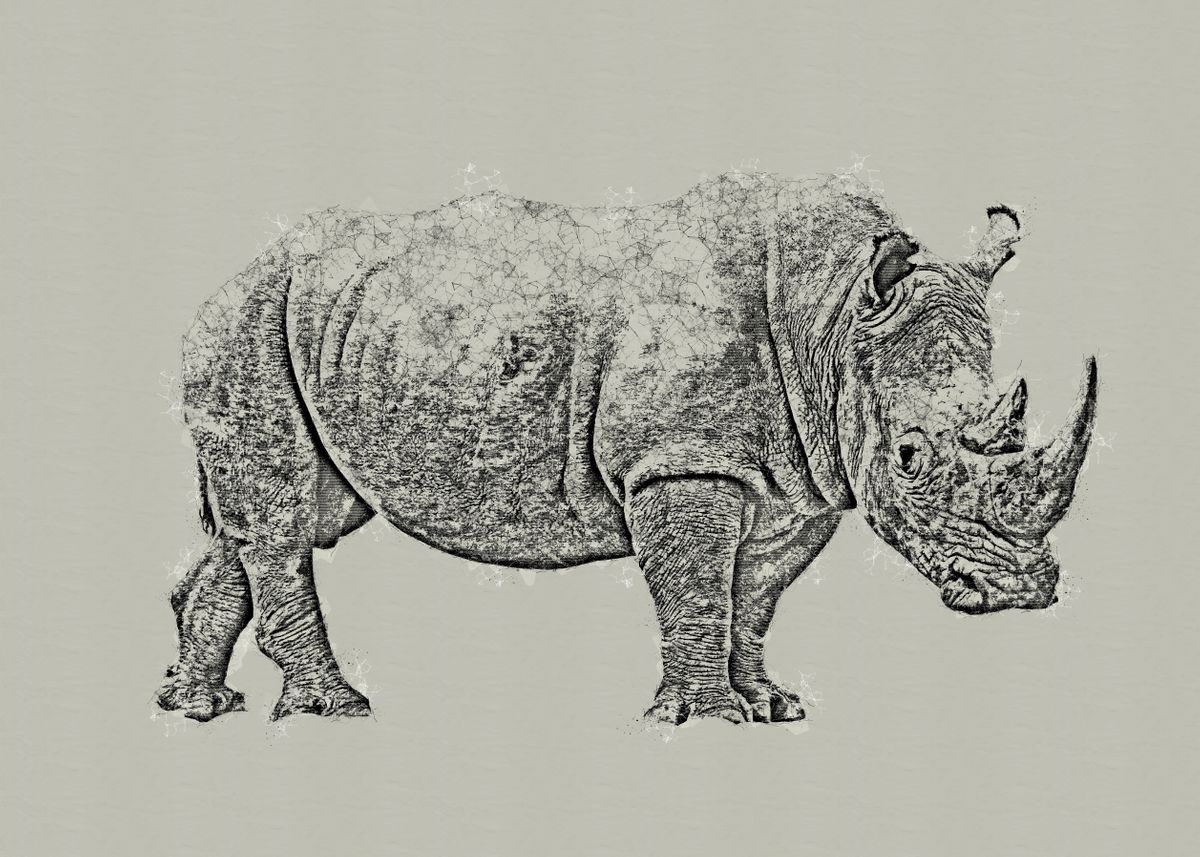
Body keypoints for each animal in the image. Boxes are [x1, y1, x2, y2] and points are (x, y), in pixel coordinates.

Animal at [157, 171, 1097, 725]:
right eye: (909, 456)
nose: (1021, 592)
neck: (833, 319)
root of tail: (231, 274)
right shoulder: (682, 460)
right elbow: (699, 588)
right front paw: (707, 719)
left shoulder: (800, 482)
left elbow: (754, 596)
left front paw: (771, 705)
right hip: (248, 324)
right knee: (283, 523)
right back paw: (337, 709)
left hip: (307, 323)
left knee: (276, 519)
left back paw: (198, 706)